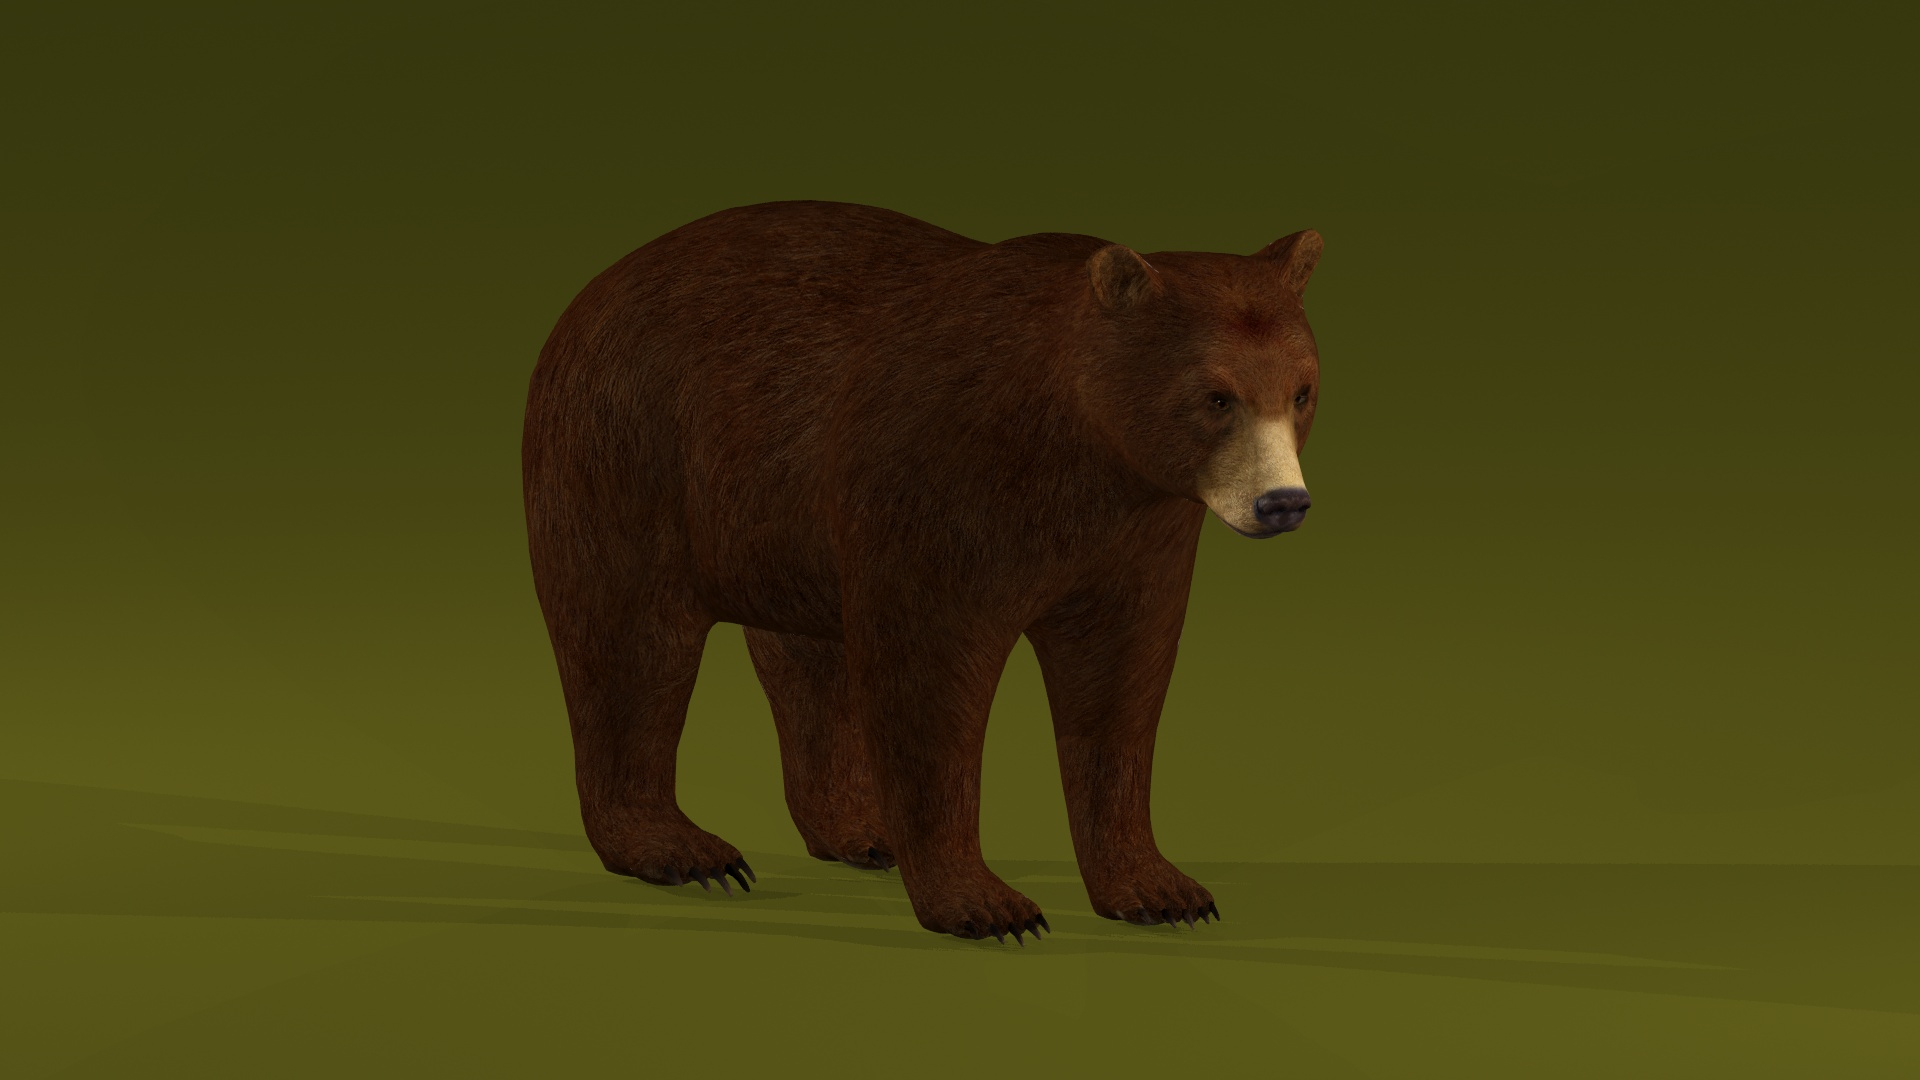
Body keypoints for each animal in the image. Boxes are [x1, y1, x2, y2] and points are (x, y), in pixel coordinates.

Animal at [522, 200, 1322, 942]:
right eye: (1216, 396)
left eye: (1302, 390)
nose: (1282, 502)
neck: (1079, 445)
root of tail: (592, 291)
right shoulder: (941, 487)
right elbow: (929, 678)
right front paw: (987, 904)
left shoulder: (1137, 533)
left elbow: (1121, 681)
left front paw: (1161, 888)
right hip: (628, 451)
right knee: (632, 640)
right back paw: (684, 849)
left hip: (776, 517)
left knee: (808, 665)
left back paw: (857, 829)